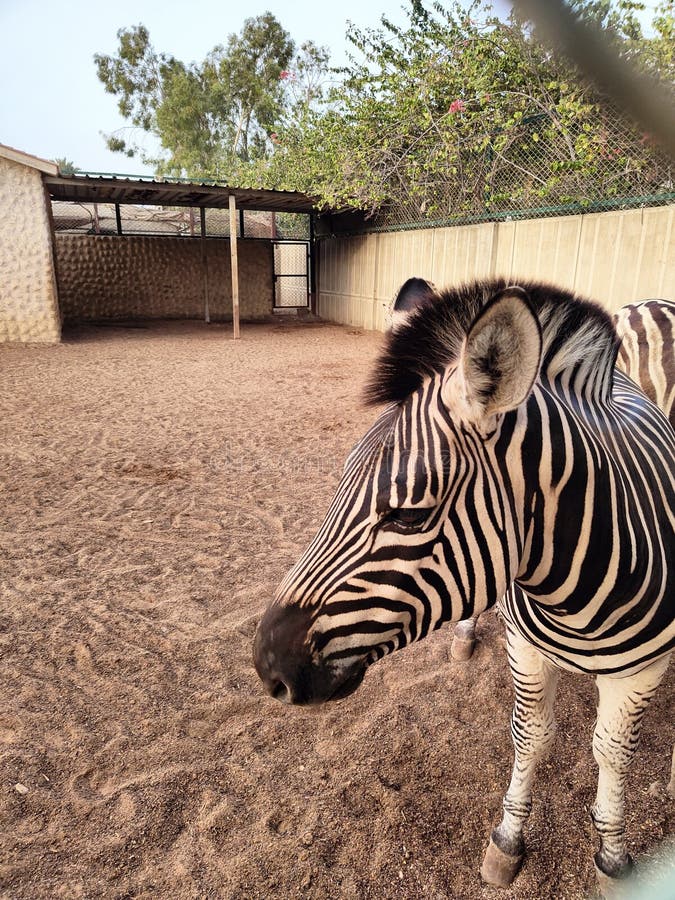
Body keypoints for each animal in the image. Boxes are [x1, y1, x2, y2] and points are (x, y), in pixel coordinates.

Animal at [254, 278, 675, 892]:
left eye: (408, 516)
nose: (266, 667)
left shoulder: (643, 670)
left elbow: (614, 753)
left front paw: (613, 856)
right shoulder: (526, 647)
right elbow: (531, 735)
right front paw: (508, 840)